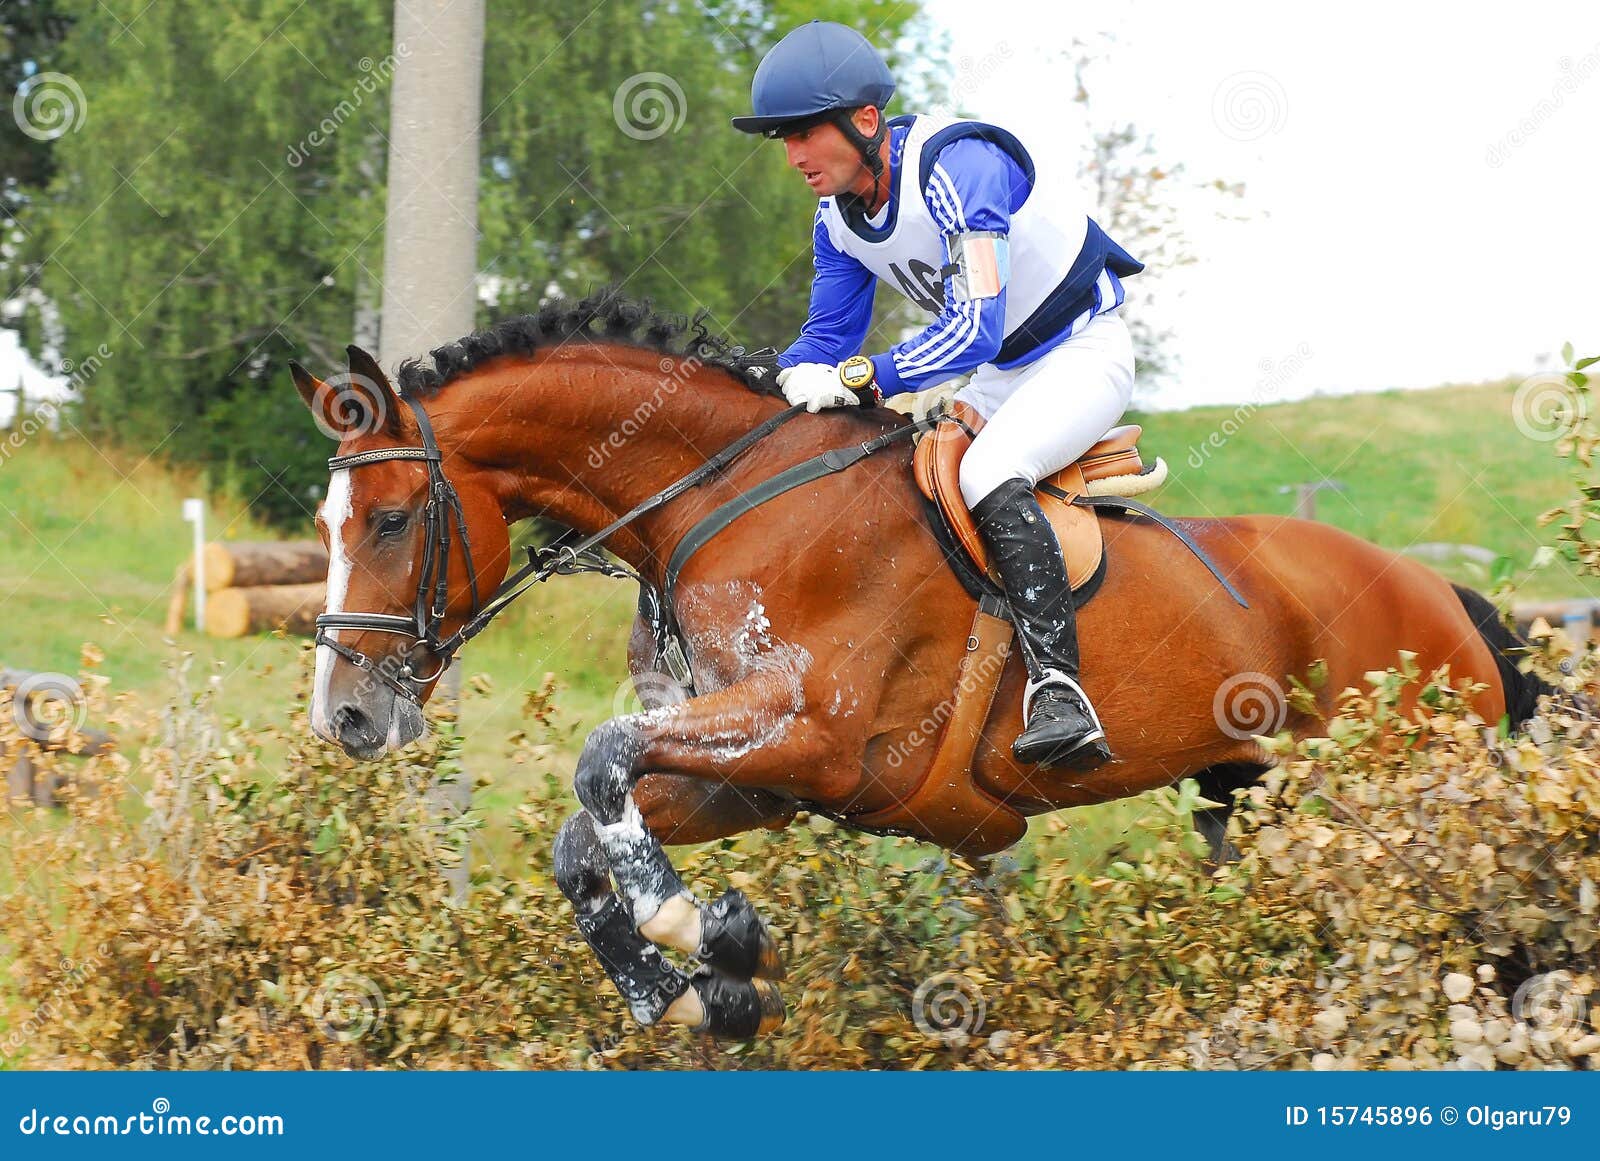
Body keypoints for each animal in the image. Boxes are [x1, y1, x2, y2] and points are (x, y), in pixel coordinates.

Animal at [290, 290, 1551, 1040]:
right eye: (324, 520)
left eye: (393, 520)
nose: (344, 720)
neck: (712, 498)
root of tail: (1440, 591)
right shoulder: (758, 776)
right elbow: (582, 834)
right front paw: (696, 988)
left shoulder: (812, 731)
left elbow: (599, 762)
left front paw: (701, 937)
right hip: (1251, 804)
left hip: (1388, 797)